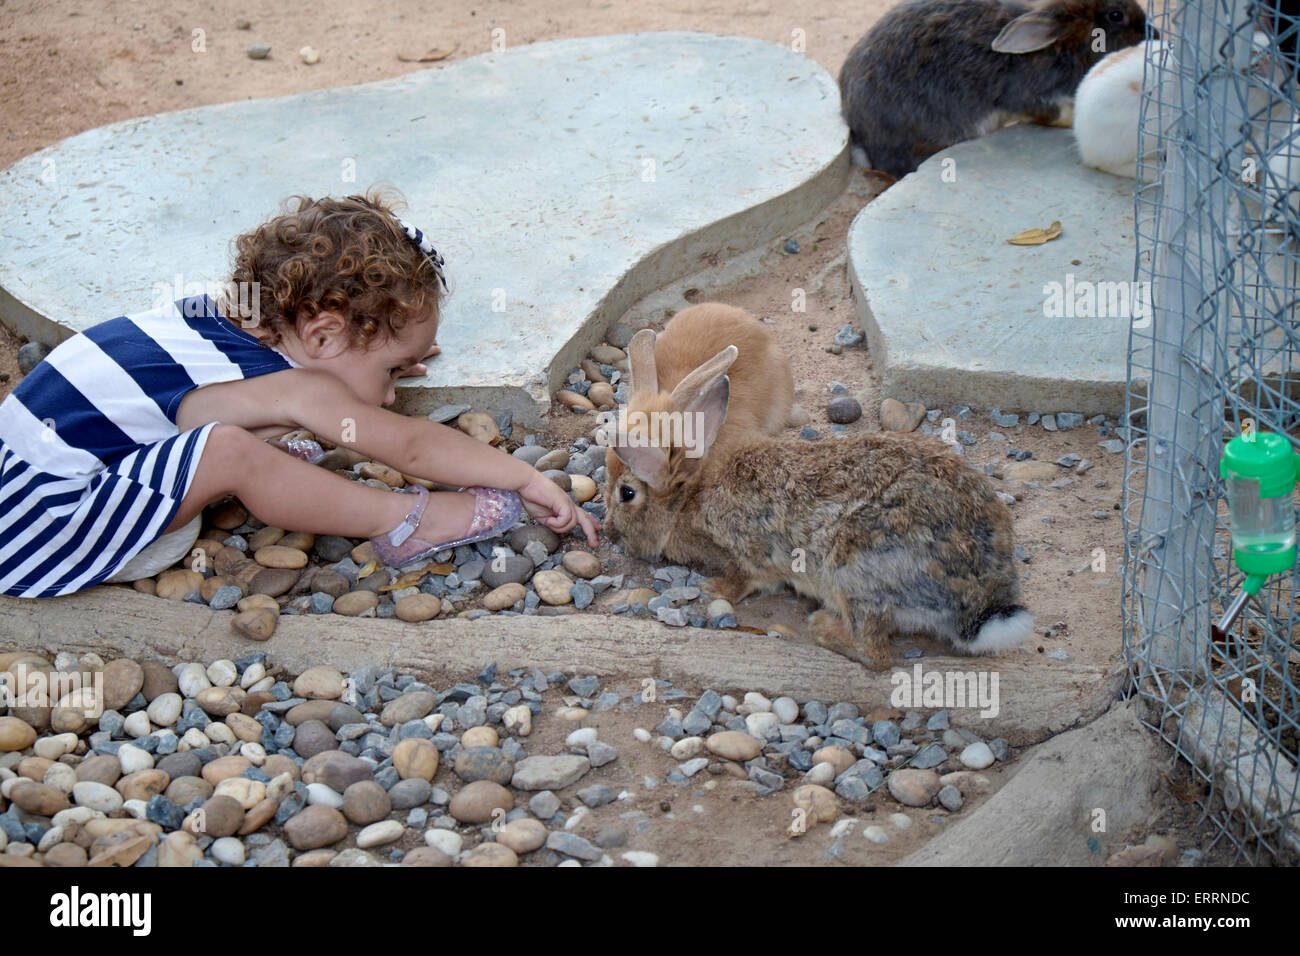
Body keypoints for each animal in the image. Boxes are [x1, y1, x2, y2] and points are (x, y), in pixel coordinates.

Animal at [604, 364, 1033, 670]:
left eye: (627, 494)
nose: (609, 533)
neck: (689, 499)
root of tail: (983, 596)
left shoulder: (748, 551)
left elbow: (744, 580)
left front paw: (712, 589)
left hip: (854, 574)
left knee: (876, 655)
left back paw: (823, 628)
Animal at [839, 0, 1152, 177]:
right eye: (1116, 15)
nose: (1155, 32)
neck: (1061, 47)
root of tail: (862, 139)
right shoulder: (1033, 97)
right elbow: (1057, 115)